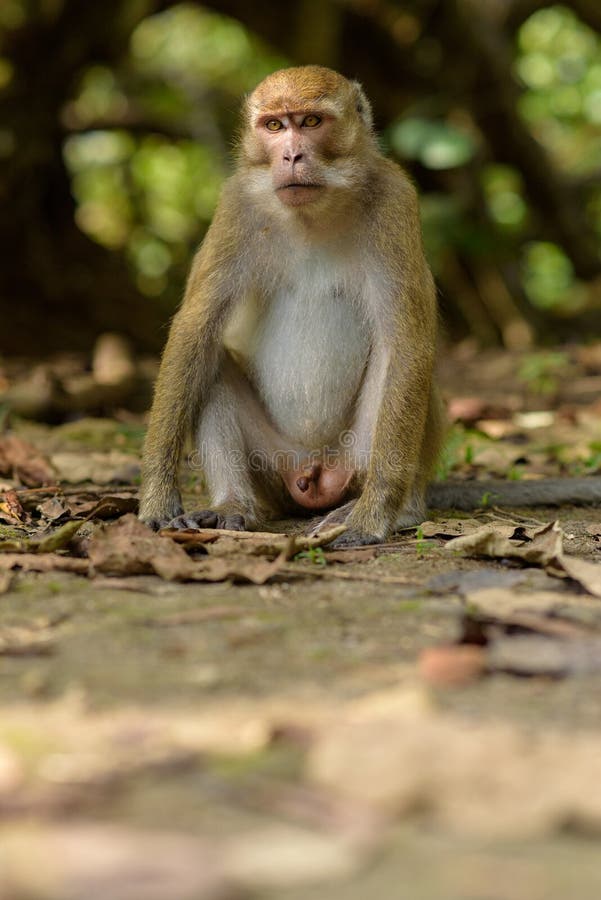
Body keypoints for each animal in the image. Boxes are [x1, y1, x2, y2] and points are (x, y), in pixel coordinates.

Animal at [140, 65, 601, 546]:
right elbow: (196, 331)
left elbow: (406, 344)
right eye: (274, 126)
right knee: (211, 365)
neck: (313, 214)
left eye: (311, 122)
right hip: (275, 465)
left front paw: (374, 516)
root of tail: (316, 473)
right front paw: (157, 498)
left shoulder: (396, 201)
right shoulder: (235, 207)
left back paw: (397, 508)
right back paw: (235, 506)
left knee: (401, 364)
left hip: (355, 456)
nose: (291, 156)